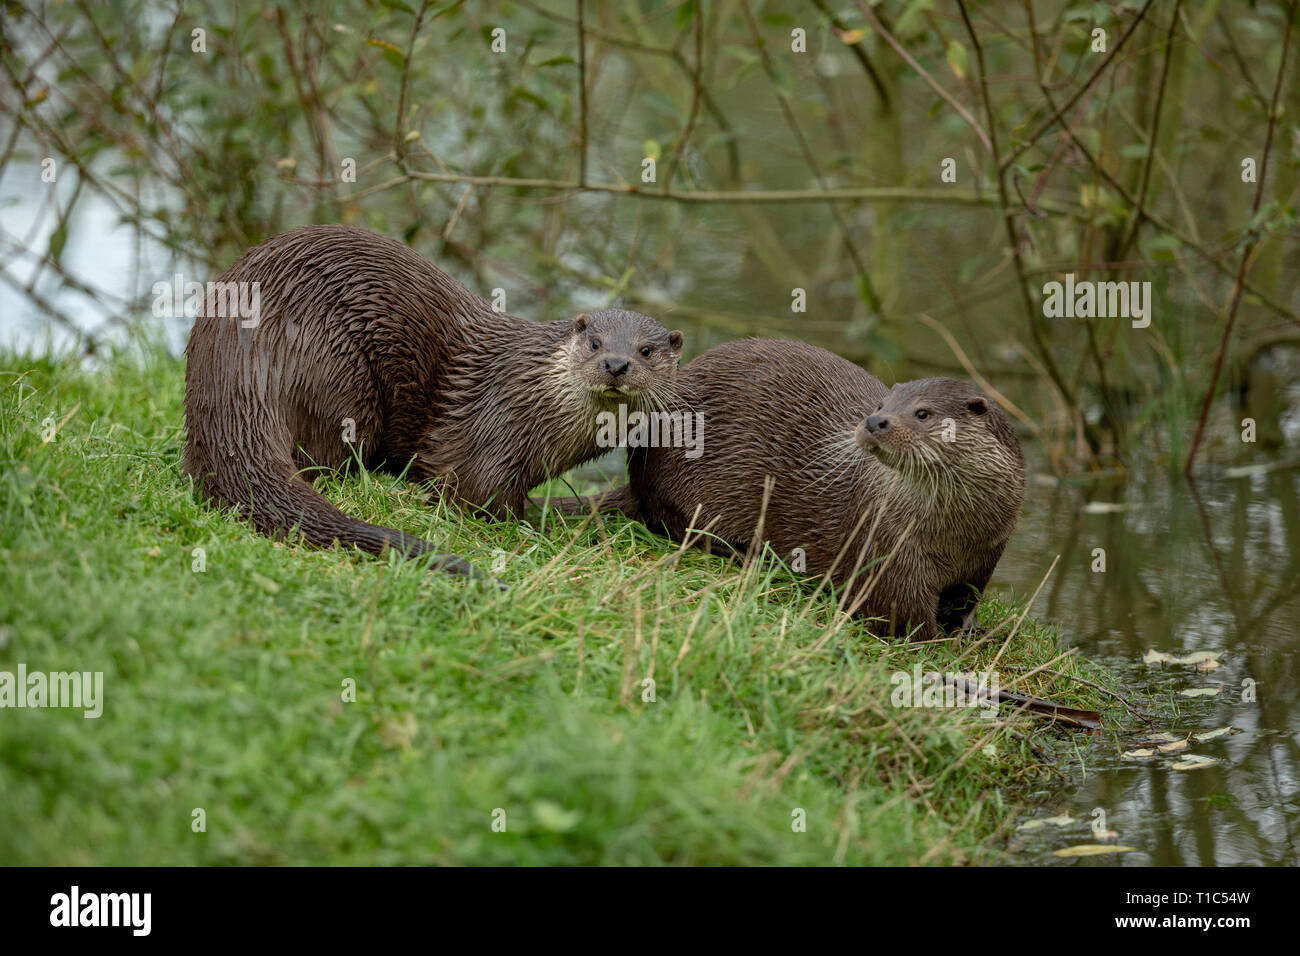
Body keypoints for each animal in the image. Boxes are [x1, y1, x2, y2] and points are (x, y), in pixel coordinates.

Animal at [183, 224, 682, 575]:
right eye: (596, 342)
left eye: (646, 350)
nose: (616, 363)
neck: (532, 391)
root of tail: (233, 354)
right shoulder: (494, 435)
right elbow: (477, 498)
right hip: (341, 375)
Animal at [556, 338, 1024, 640]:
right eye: (880, 405)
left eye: (922, 413)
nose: (875, 421)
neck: (953, 535)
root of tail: (639, 472)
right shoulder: (886, 550)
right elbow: (901, 614)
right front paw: (937, 642)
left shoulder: (987, 556)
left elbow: (965, 600)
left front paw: (971, 630)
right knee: (673, 523)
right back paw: (747, 553)